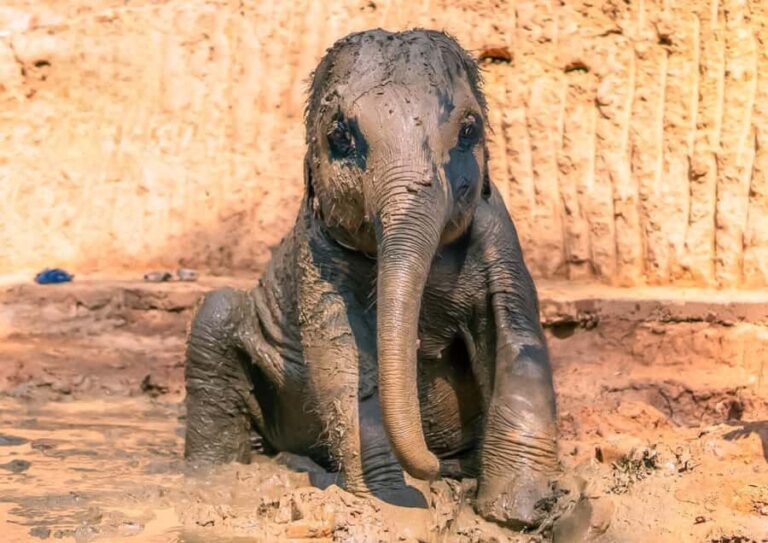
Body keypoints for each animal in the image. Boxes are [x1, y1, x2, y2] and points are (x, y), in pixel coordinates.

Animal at [184, 28, 561, 529]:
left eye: (469, 131)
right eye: (340, 137)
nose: (434, 467)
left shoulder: (499, 235)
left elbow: (517, 339)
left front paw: (519, 513)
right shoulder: (318, 251)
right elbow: (342, 356)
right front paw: (394, 506)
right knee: (215, 314)